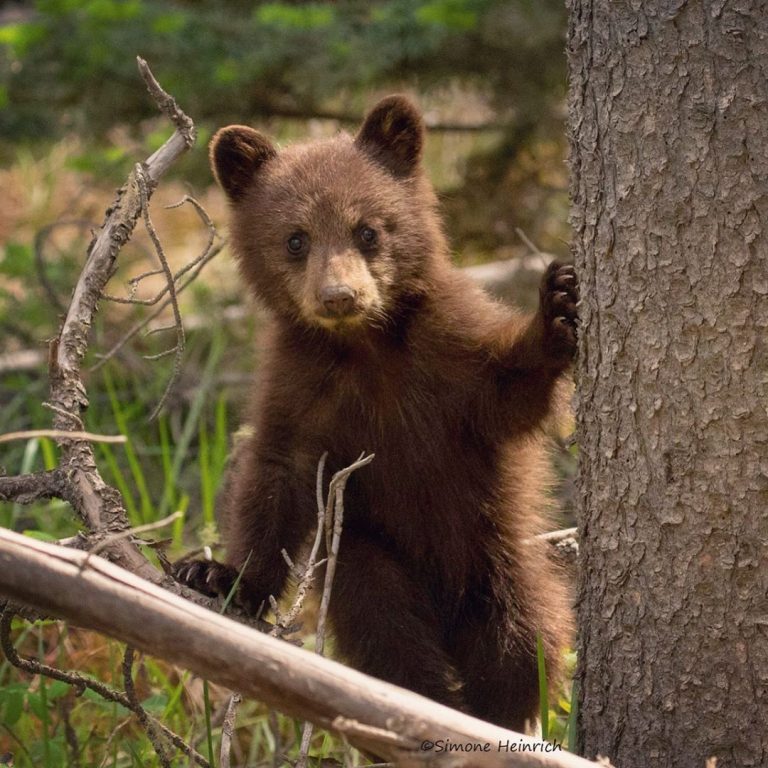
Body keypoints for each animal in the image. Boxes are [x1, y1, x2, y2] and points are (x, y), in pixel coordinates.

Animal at [175, 95, 577, 732]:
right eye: (295, 239)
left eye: (367, 229)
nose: (339, 297)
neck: (367, 348)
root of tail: (446, 608)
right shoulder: (302, 386)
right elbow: (276, 475)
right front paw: (220, 575)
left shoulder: (447, 356)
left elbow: (506, 393)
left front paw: (557, 305)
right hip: (368, 558)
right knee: (387, 631)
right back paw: (422, 702)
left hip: (498, 557)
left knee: (523, 639)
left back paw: (493, 716)